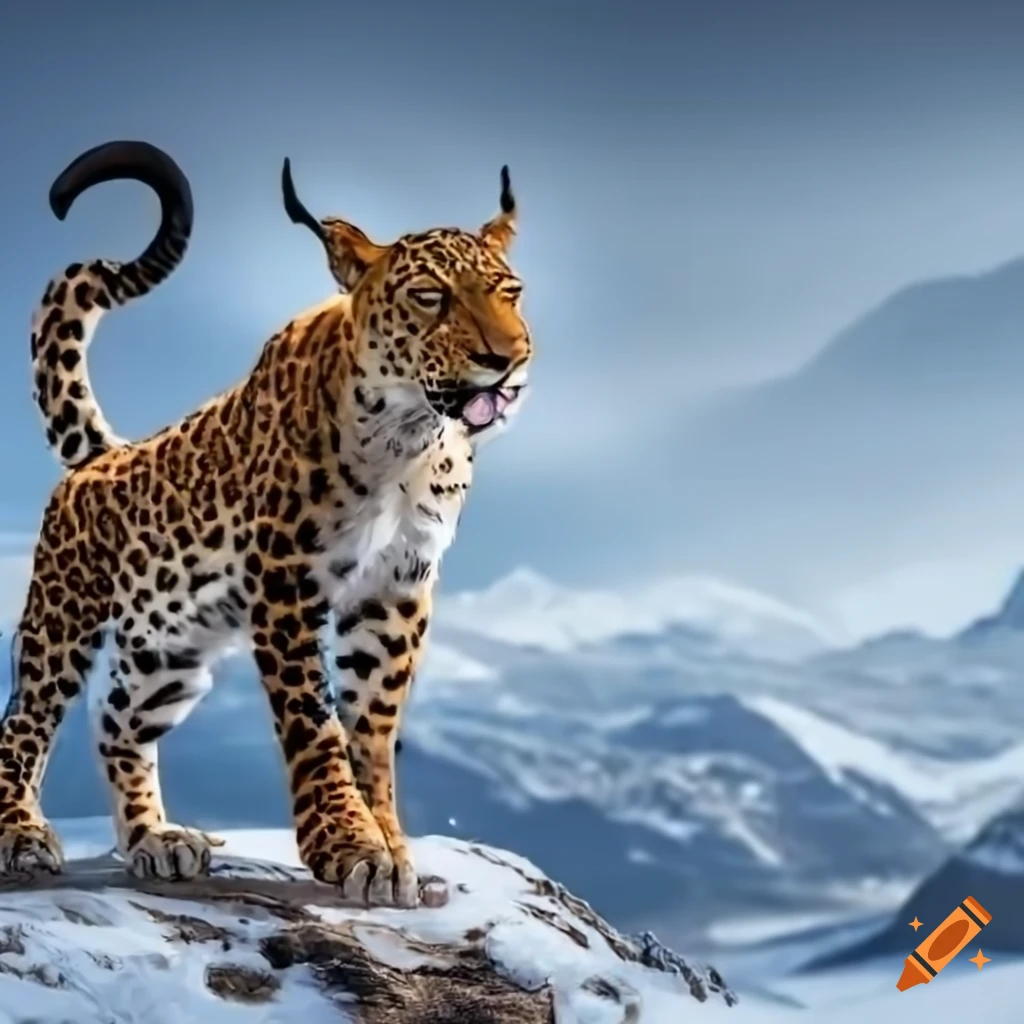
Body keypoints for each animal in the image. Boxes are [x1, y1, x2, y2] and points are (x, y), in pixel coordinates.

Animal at [0, 139, 531, 906]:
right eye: (431, 297)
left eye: (508, 293)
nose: (508, 361)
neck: (408, 437)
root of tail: (105, 456)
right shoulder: (288, 583)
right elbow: (315, 720)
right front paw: (349, 845)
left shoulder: (396, 590)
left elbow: (373, 728)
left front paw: (391, 848)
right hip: (63, 616)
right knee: (27, 721)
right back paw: (19, 834)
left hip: (167, 646)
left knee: (118, 719)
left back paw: (153, 840)